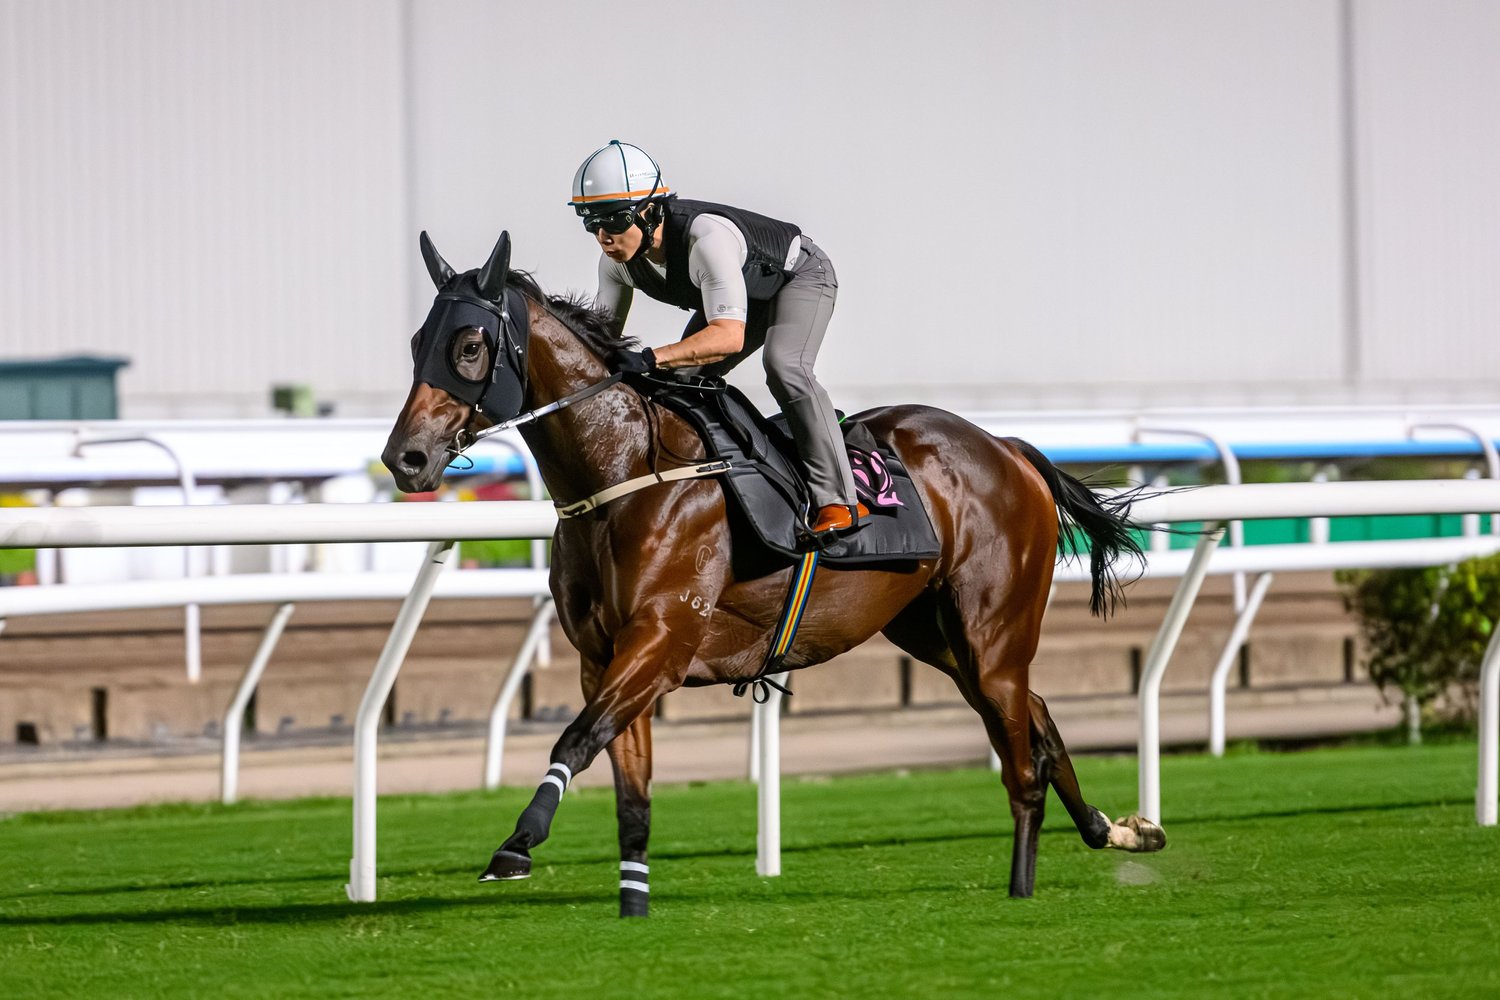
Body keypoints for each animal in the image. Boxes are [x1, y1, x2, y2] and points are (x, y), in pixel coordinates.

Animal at [383, 231, 1165, 918]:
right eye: (418, 343)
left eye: (469, 346)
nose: (405, 458)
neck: (626, 472)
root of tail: (1005, 446)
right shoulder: (602, 655)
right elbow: (629, 789)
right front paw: (632, 903)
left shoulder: (661, 641)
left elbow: (575, 739)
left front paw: (517, 844)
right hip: (935, 634)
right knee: (1038, 719)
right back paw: (1116, 828)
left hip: (990, 630)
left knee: (1021, 759)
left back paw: (1023, 887)